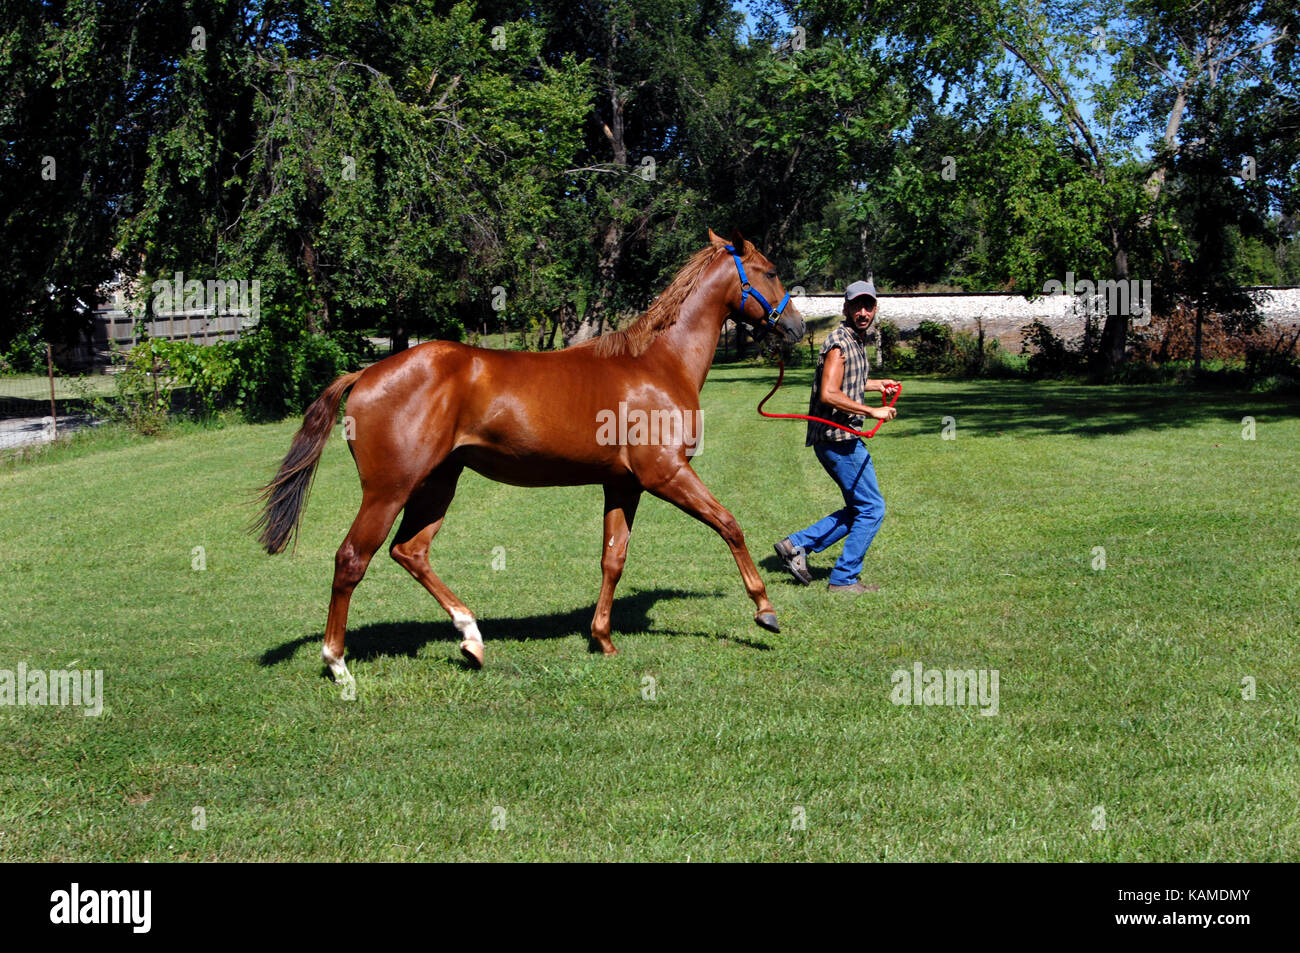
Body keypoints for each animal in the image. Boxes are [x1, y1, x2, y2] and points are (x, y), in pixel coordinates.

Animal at [255, 229, 806, 682]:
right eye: (770, 271)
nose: (797, 327)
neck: (657, 363)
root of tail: (365, 374)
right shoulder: (666, 474)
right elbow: (729, 524)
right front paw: (765, 610)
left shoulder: (623, 484)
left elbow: (613, 558)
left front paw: (602, 639)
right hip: (388, 490)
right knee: (353, 558)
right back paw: (338, 664)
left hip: (438, 483)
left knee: (409, 551)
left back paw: (471, 640)